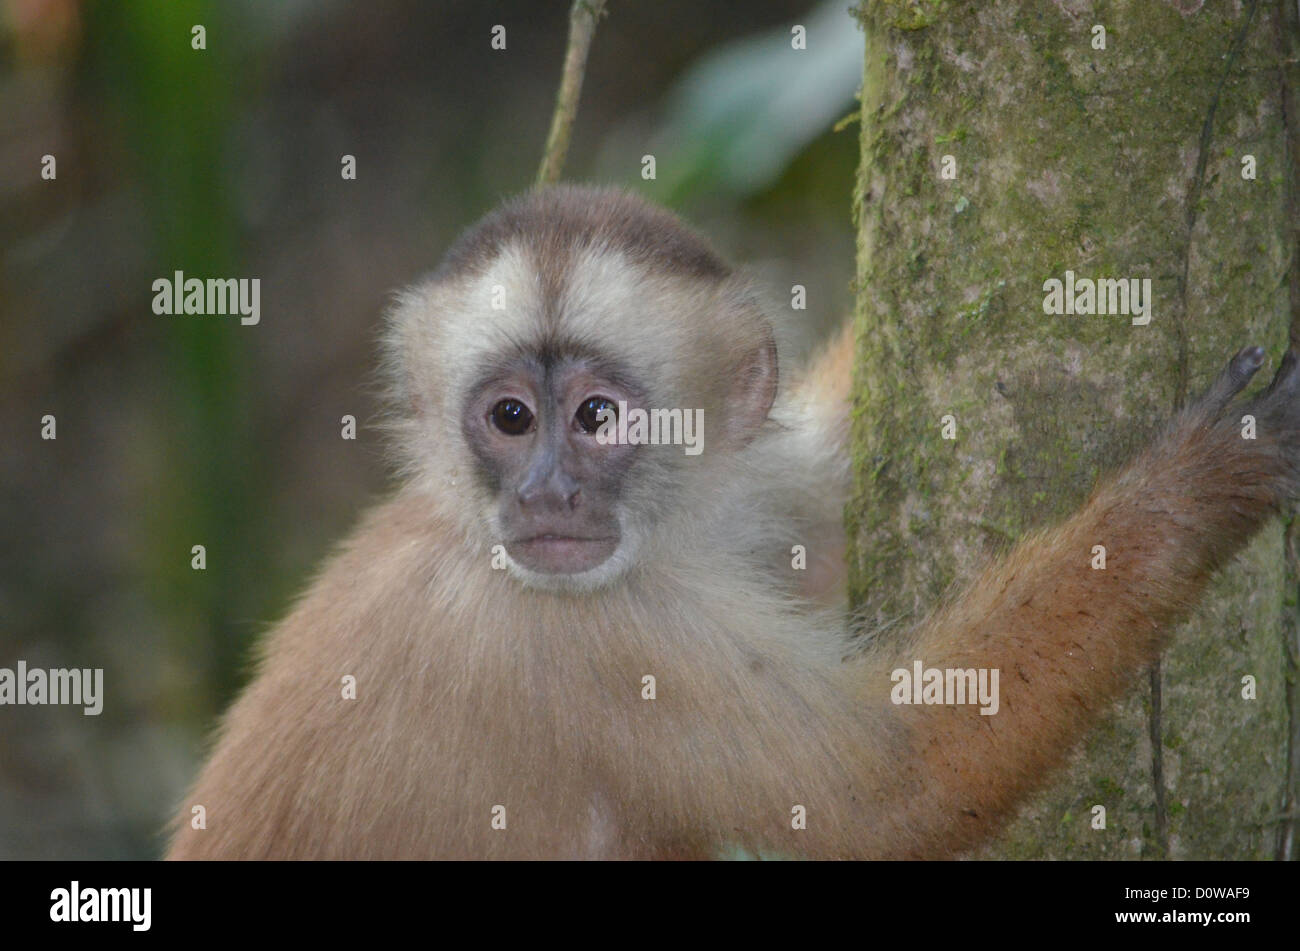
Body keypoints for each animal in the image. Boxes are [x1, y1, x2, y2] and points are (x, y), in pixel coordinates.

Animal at [167, 184, 1300, 860]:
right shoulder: (591, 636)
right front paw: (1196, 485)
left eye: (595, 418)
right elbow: (899, 786)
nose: (543, 496)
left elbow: (808, 473)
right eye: (510, 418)